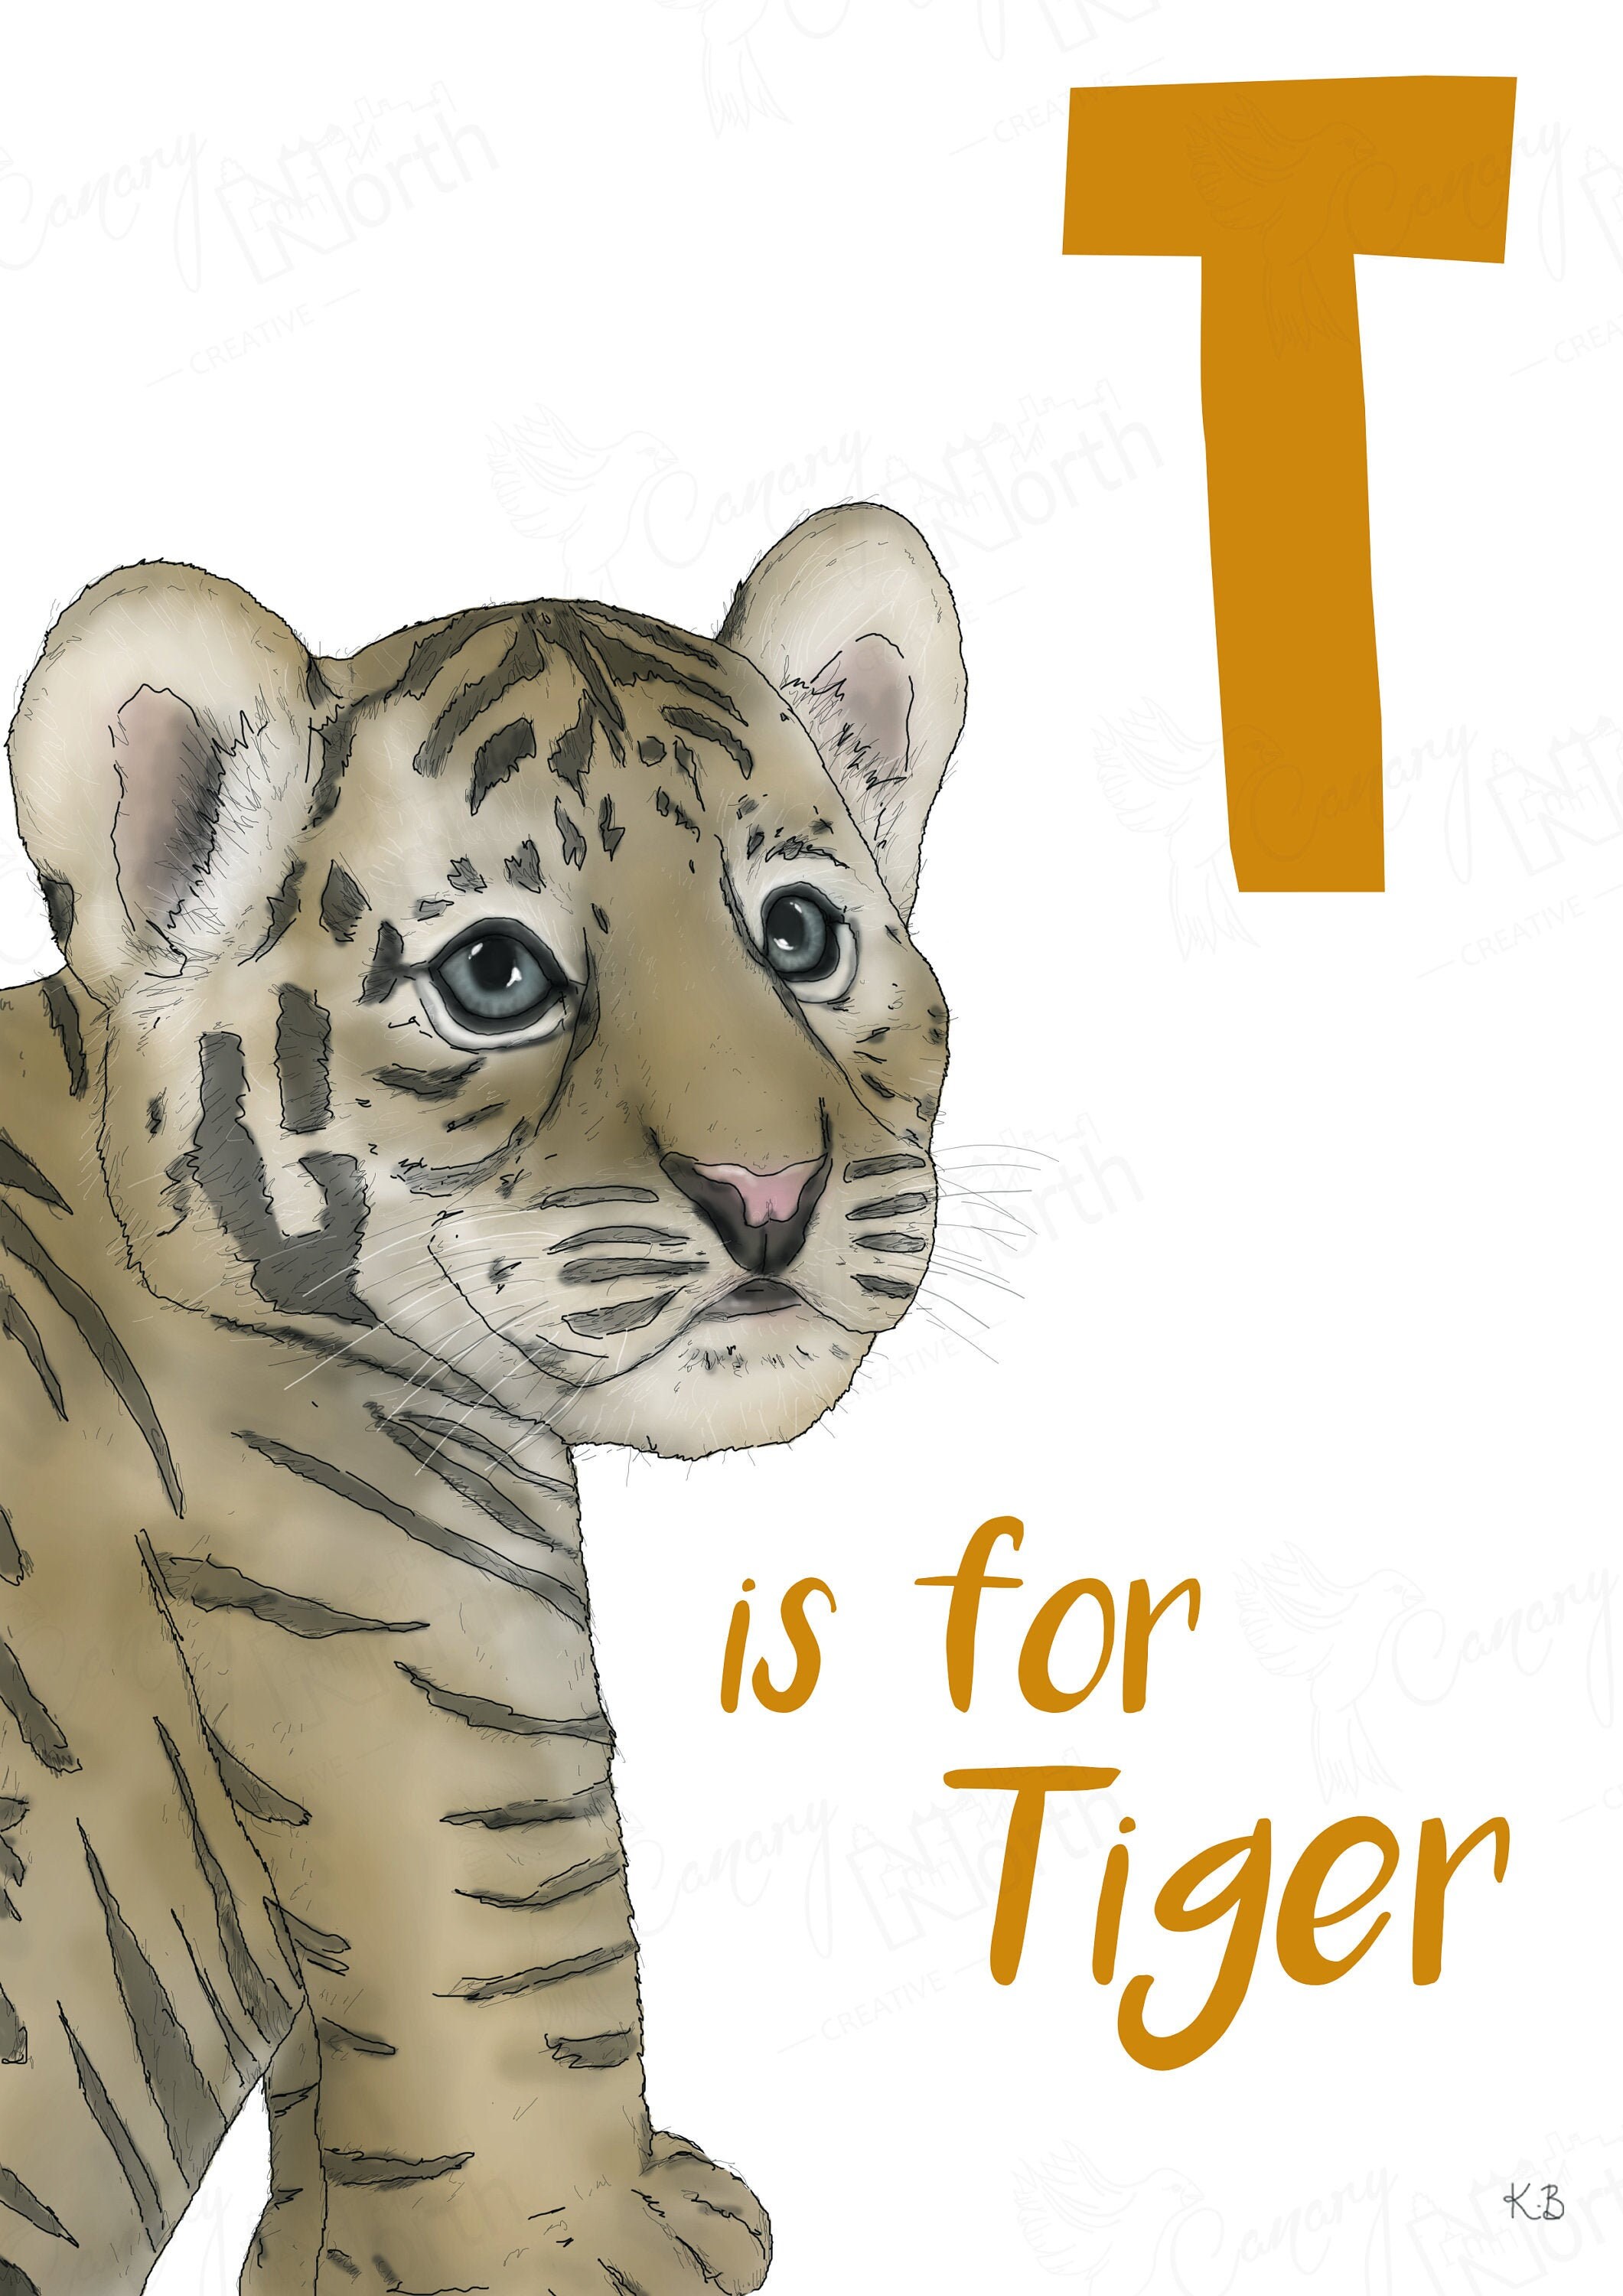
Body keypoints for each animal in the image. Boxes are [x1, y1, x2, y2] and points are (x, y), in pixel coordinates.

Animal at [0, 500, 963, 2296]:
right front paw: (650, 2233)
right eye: (498, 976)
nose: (770, 1193)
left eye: (800, 934)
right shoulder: (429, 1700)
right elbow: (531, 2004)